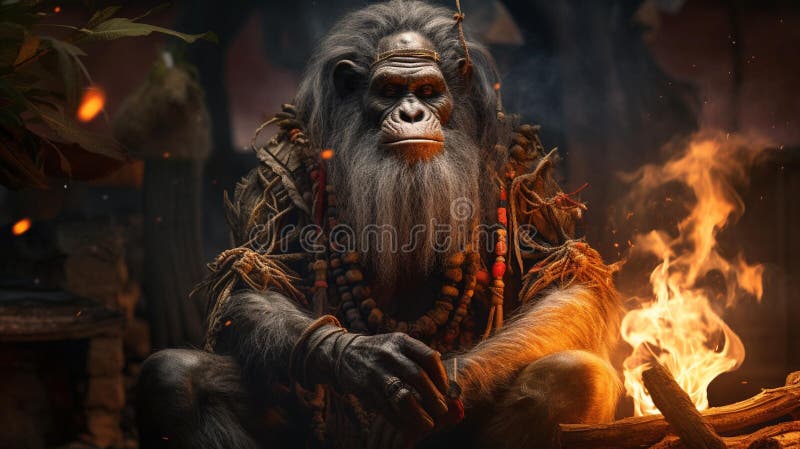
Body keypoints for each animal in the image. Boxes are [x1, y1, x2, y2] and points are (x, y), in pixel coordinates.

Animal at [136, 2, 623, 448]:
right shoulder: (282, 165)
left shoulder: (524, 170)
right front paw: (363, 359)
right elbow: (254, 277)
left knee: (569, 375)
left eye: (427, 90)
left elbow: (564, 278)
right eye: (389, 90)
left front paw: (454, 375)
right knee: (174, 377)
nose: (411, 114)